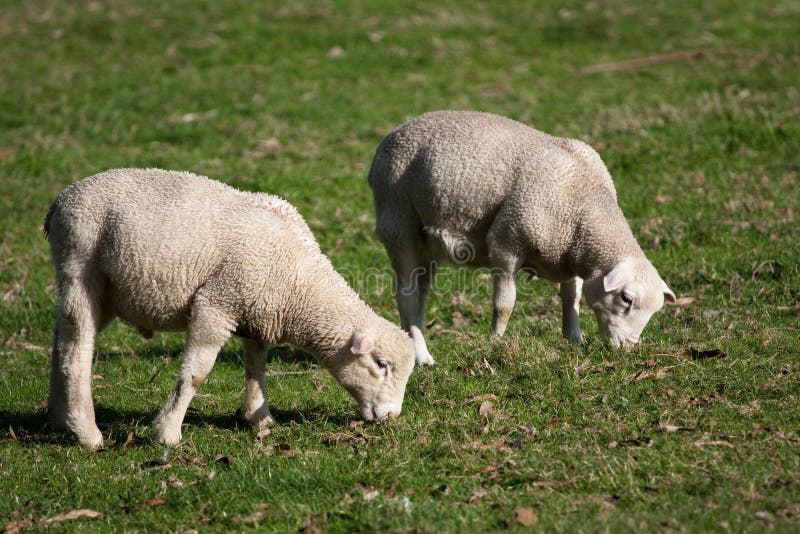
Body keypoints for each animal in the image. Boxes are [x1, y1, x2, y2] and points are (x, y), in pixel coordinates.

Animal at [44, 168, 415, 449]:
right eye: (381, 365)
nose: (391, 416)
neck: (298, 284)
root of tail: (60, 202)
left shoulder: (258, 310)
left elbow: (256, 366)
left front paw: (260, 419)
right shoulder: (217, 304)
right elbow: (196, 374)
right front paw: (167, 433)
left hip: (107, 292)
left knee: (61, 341)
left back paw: (59, 420)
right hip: (80, 268)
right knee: (75, 353)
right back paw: (86, 433)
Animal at [367, 110, 675, 365]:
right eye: (626, 298)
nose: (628, 348)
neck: (584, 202)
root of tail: (391, 136)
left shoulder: (570, 254)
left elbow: (571, 297)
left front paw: (574, 338)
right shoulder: (506, 243)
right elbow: (504, 304)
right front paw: (495, 342)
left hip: (426, 242)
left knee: (420, 294)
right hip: (398, 221)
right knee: (407, 296)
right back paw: (423, 357)